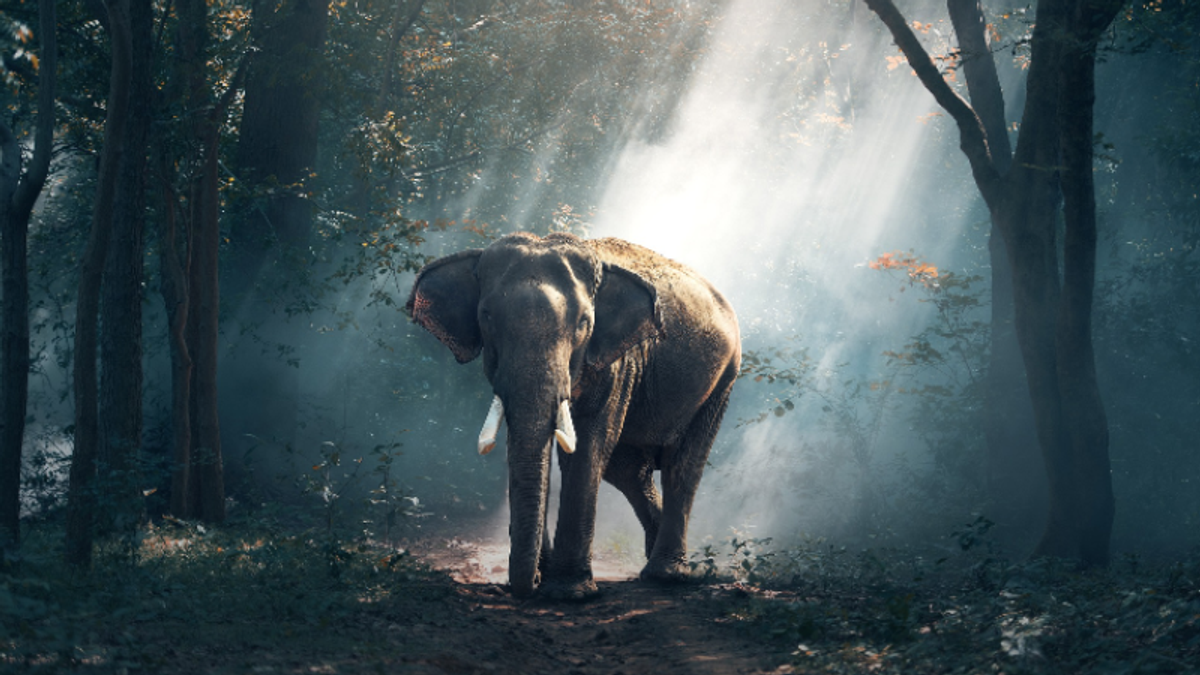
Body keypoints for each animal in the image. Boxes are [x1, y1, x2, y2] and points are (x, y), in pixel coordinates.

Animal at [406, 232, 740, 599]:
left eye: (583, 323)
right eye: (487, 317)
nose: (528, 585)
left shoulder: (617, 361)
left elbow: (588, 446)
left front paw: (569, 592)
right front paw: (547, 576)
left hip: (723, 379)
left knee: (682, 466)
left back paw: (666, 575)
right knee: (628, 471)